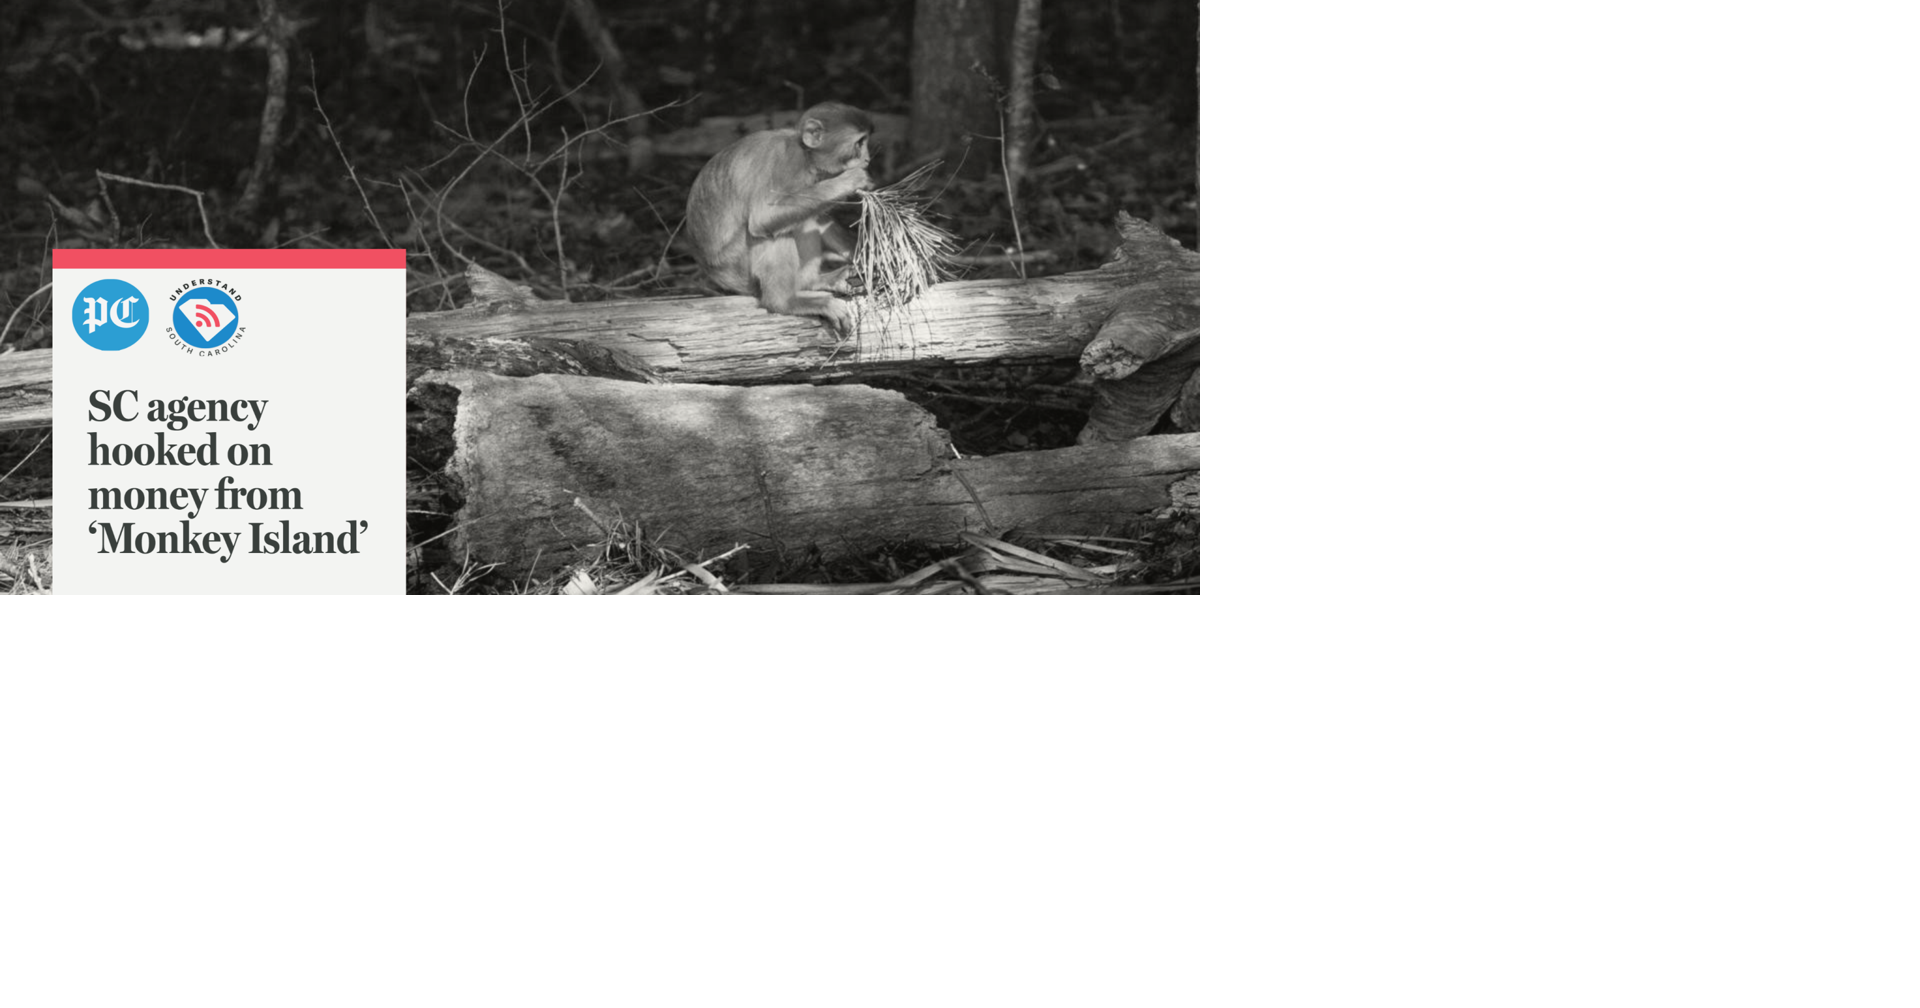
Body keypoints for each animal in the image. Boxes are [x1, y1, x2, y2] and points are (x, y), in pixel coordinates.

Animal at [686, 102, 875, 335]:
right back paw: (785, 302)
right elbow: (763, 218)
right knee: (769, 233)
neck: (805, 155)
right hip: (734, 267)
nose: (868, 159)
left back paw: (812, 283)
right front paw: (851, 181)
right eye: (859, 143)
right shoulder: (786, 161)